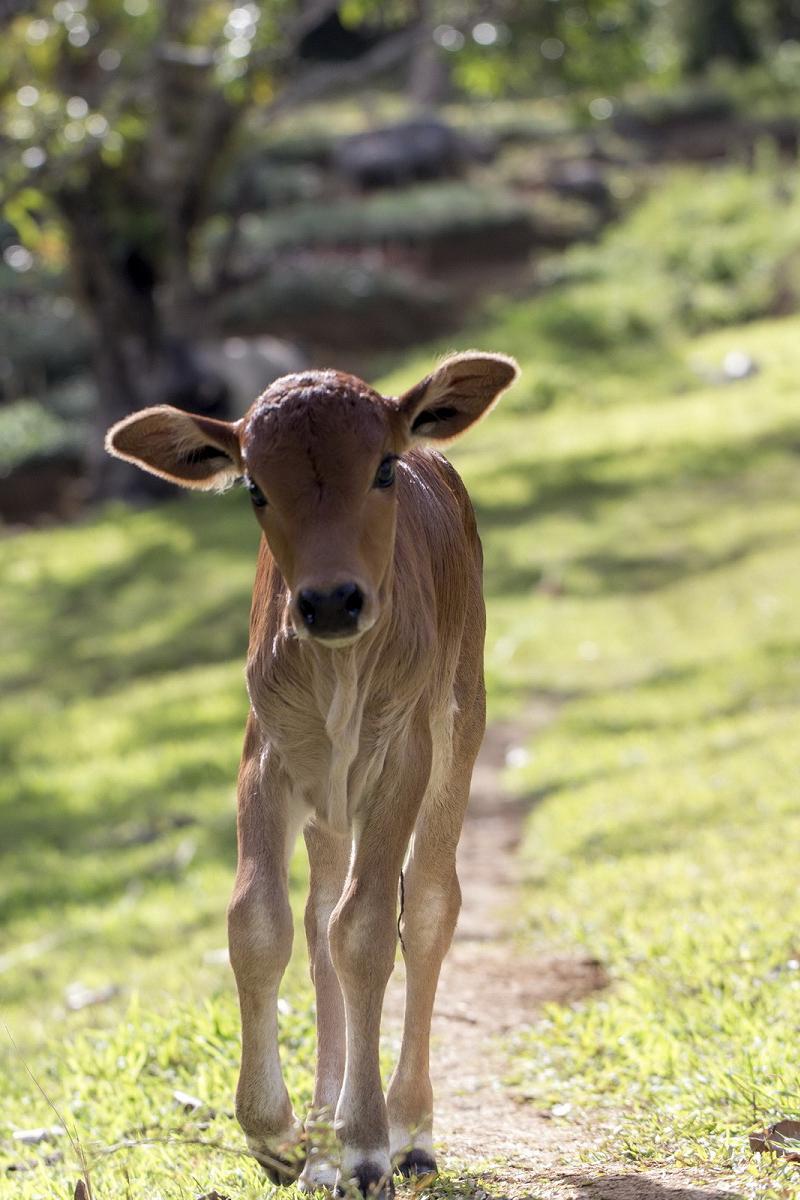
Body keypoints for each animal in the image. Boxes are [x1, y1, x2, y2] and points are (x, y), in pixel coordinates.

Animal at [105, 351, 519, 1198]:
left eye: (383, 468)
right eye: (256, 488)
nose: (330, 601)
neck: (338, 674)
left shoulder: (401, 759)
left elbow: (369, 929)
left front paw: (365, 1146)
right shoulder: (265, 757)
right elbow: (258, 922)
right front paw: (281, 1136)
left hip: (461, 726)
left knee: (430, 905)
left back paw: (409, 1131)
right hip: (330, 803)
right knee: (319, 914)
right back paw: (324, 1142)